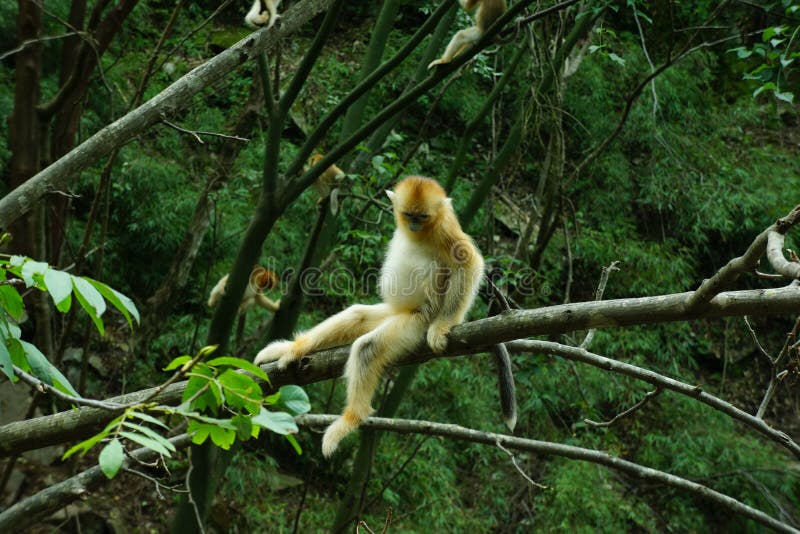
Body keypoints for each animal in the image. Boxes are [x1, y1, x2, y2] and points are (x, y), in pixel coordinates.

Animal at [254, 176, 485, 457]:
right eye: (408, 215)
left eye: (423, 216)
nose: (414, 224)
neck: (420, 233)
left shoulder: (445, 229)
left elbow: (469, 263)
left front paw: (443, 326)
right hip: (391, 313)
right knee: (356, 315)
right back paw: (294, 349)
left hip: (414, 322)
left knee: (367, 347)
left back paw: (351, 418)